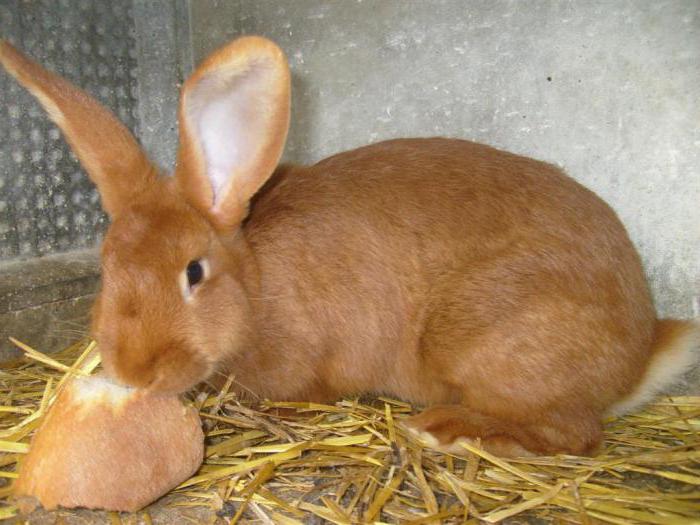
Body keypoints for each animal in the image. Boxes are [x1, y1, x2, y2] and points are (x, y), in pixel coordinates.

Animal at [2, 35, 696, 454]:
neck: (256, 283)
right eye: (106, 266)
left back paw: (442, 429)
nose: (130, 371)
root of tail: (639, 350)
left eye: (193, 272)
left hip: (484, 340)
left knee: (573, 431)